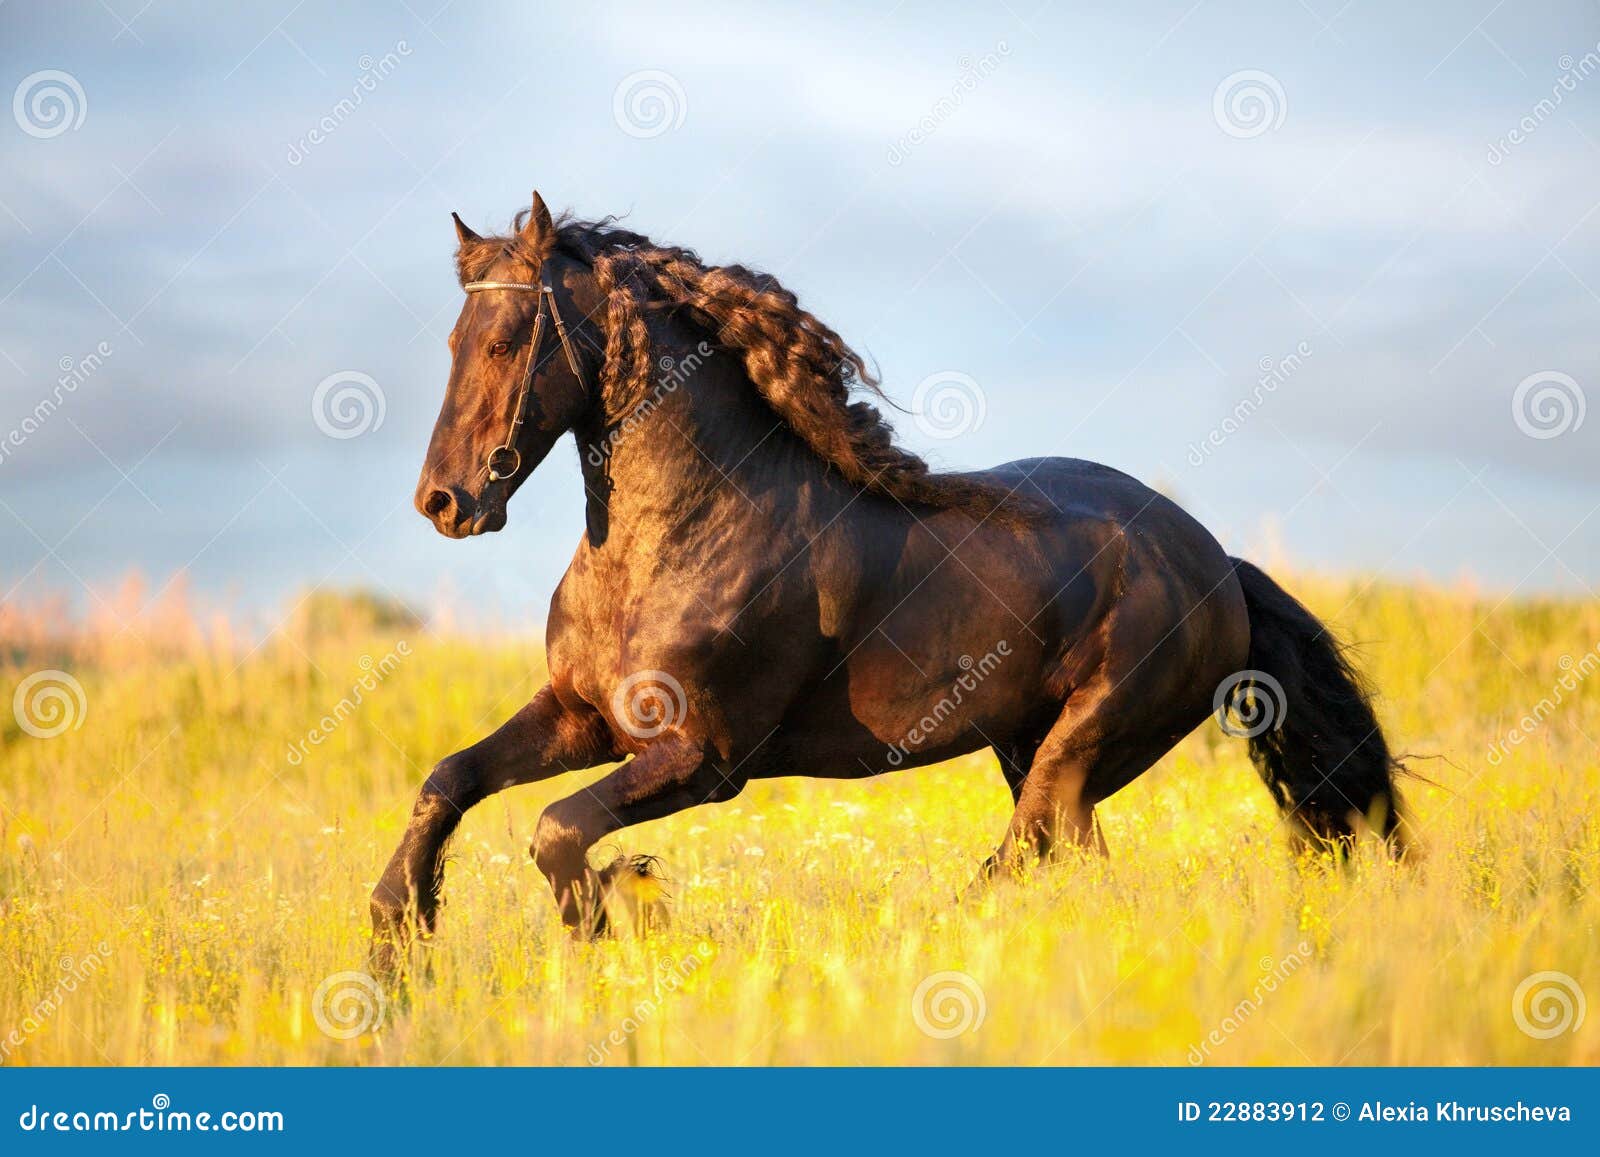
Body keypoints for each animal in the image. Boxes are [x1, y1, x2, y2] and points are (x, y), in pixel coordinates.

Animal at [369, 190, 1408, 971]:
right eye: (455, 341)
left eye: (506, 340)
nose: (444, 501)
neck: (676, 538)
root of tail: (1216, 563)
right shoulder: (584, 717)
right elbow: (448, 780)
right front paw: (395, 942)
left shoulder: (704, 759)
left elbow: (554, 829)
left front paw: (613, 919)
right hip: (1033, 748)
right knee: (1071, 863)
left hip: (1083, 744)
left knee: (1025, 853)